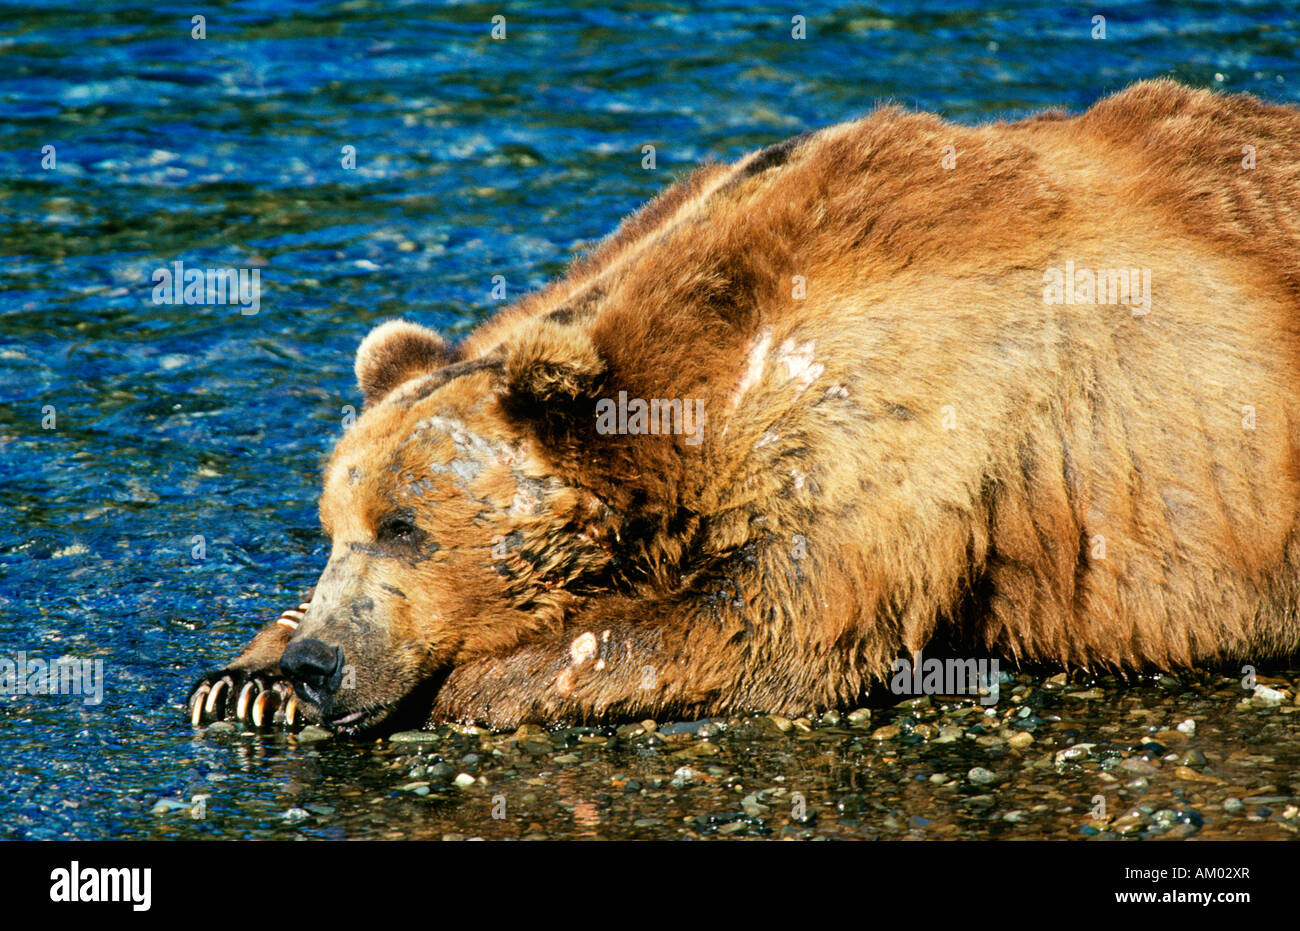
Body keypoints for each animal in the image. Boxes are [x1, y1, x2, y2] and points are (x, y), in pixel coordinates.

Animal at [189, 79, 1300, 734]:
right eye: (334, 526)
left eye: (406, 527)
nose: (323, 662)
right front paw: (245, 676)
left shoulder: (906, 427)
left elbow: (765, 624)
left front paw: (477, 683)